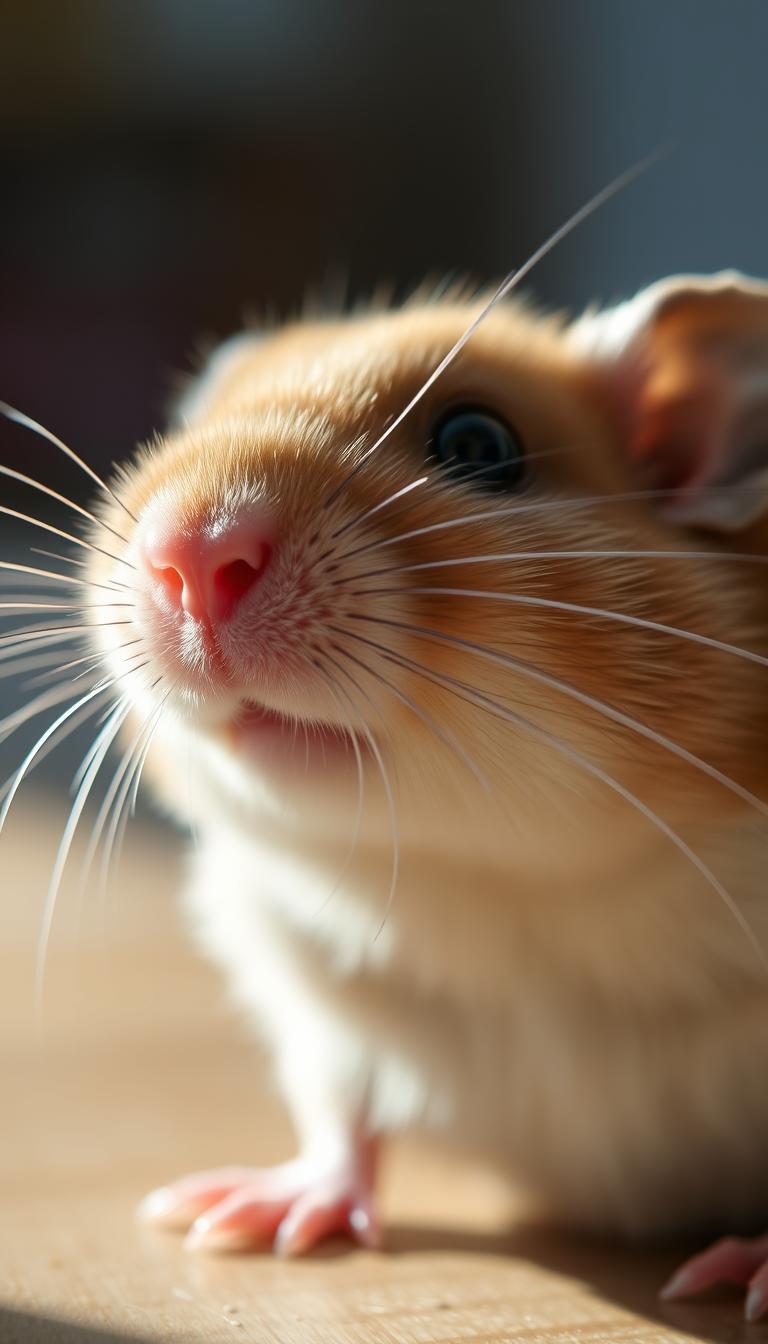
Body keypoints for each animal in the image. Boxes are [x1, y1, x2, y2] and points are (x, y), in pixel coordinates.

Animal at [8, 270, 768, 1316]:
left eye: (479, 445)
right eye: (188, 426)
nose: (188, 558)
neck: (493, 883)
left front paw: (747, 1273)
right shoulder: (316, 1010)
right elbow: (341, 1120)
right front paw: (245, 1214)